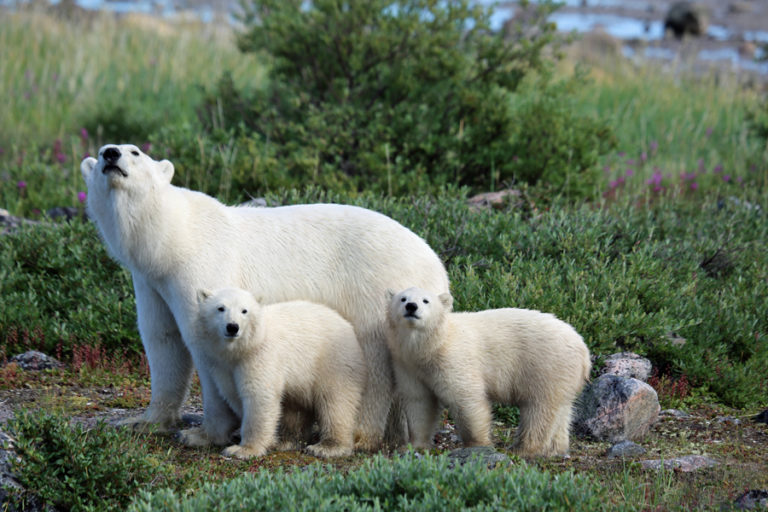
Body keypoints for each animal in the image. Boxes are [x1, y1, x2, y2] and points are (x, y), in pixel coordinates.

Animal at [191, 287, 365, 459]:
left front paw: (243, 449)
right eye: (220, 308)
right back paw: (286, 440)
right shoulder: (222, 366)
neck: (244, 349)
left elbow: (258, 396)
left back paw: (327, 447)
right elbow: (231, 393)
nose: (233, 327)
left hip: (332, 362)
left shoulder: (260, 356)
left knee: (335, 401)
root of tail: (347, 325)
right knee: (294, 406)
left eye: (244, 310)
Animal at [386, 287, 591, 457]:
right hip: (563, 375)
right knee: (561, 409)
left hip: (546, 367)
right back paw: (557, 448)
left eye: (426, 300)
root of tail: (584, 352)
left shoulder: (454, 358)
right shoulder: (407, 365)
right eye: (403, 298)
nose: (411, 306)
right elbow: (419, 401)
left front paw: (476, 445)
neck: (432, 346)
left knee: (539, 409)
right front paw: (414, 446)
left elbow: (466, 398)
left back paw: (523, 449)